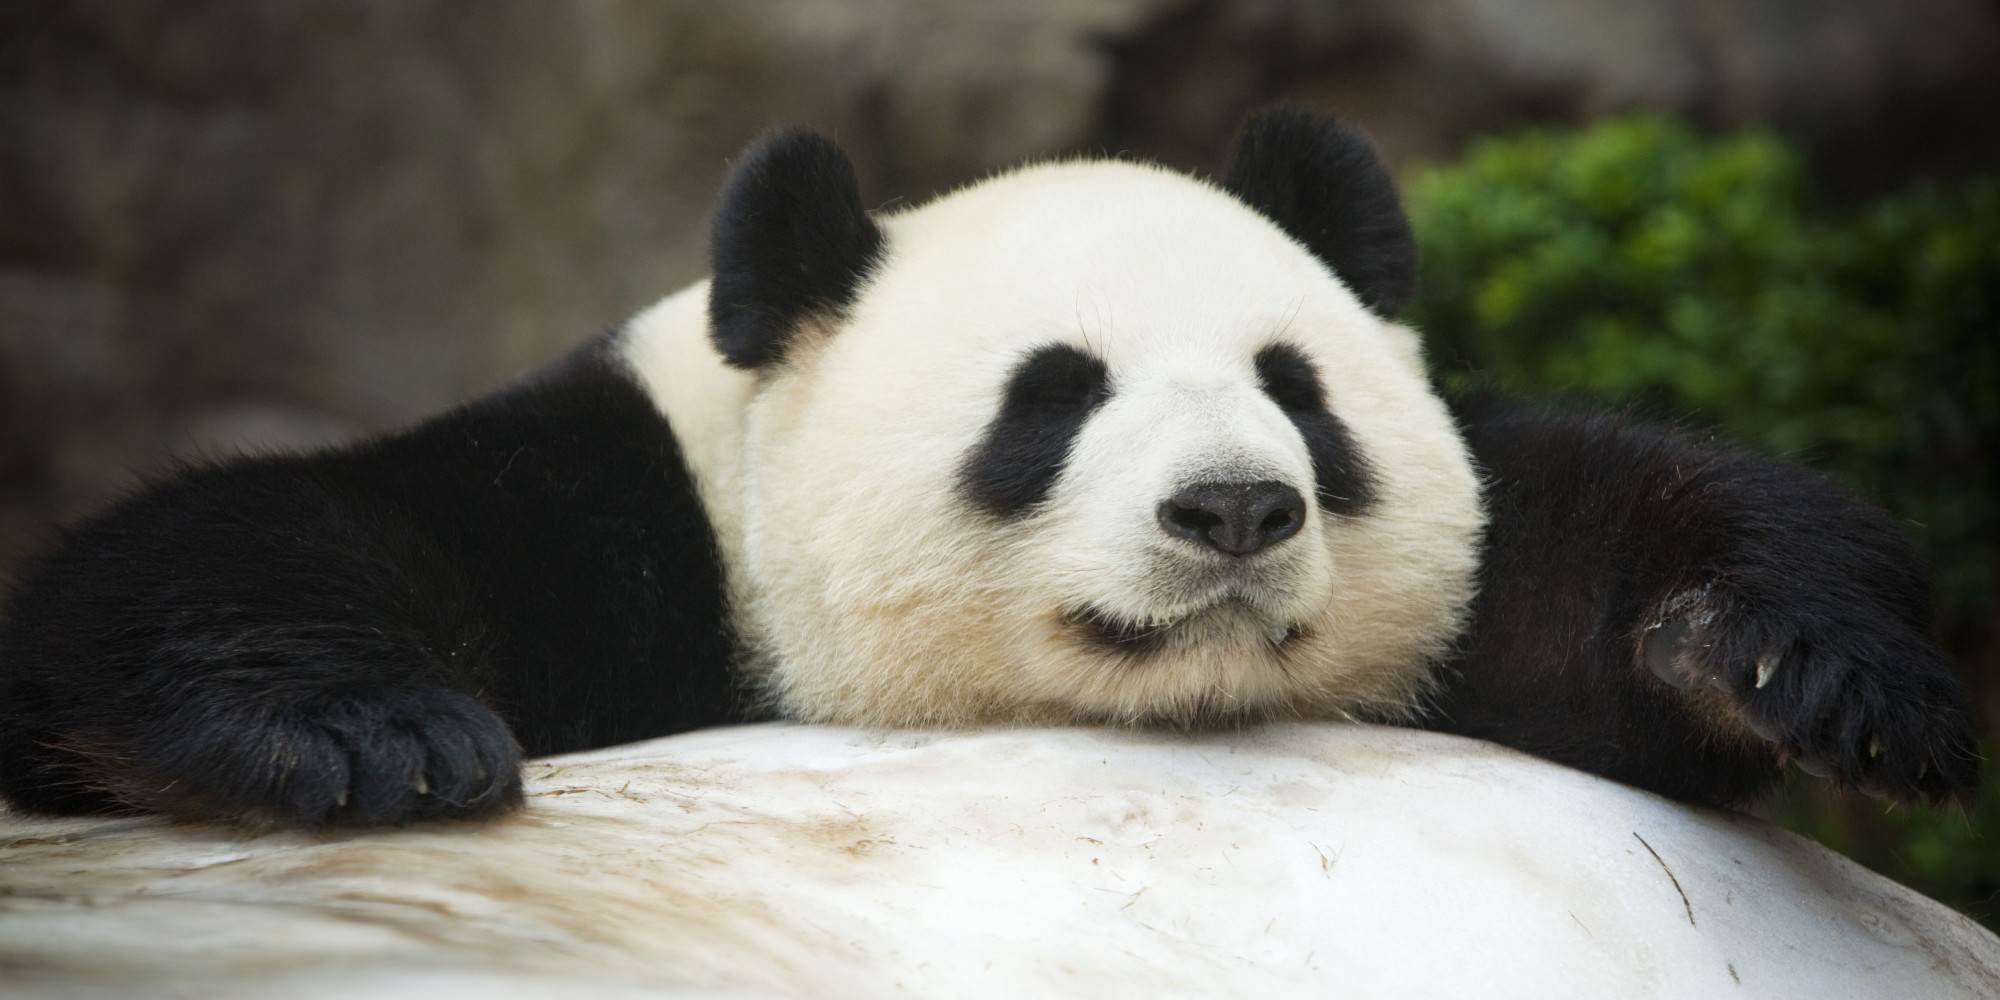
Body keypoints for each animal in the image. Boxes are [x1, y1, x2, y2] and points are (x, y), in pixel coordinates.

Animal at [0, 109, 1977, 828]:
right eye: (1051, 399)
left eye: (1299, 396)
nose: (1235, 509)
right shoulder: (633, 515)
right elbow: (260, 537)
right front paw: (370, 737)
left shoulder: (1469, 598)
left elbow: (1575, 552)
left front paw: (1821, 673)